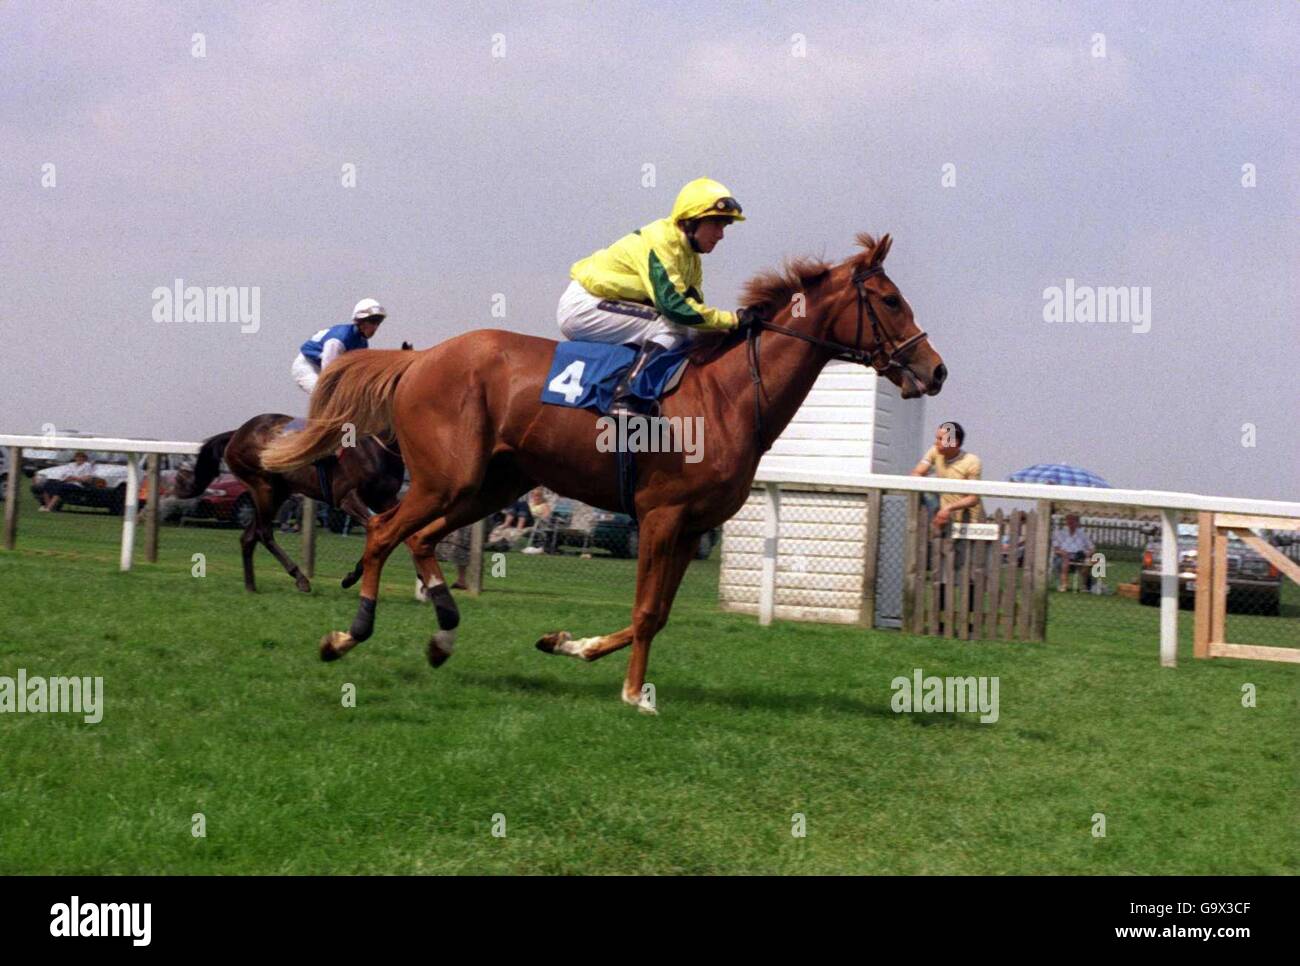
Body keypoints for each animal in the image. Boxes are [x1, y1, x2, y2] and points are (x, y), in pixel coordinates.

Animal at [260, 233, 946, 711]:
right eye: (890, 301)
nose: (935, 370)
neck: (725, 396)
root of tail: (423, 358)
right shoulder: (662, 515)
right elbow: (645, 613)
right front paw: (633, 694)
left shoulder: (692, 528)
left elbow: (657, 615)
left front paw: (569, 644)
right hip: (445, 479)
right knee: (383, 533)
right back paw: (348, 636)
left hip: (489, 484)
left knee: (422, 539)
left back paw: (443, 636)